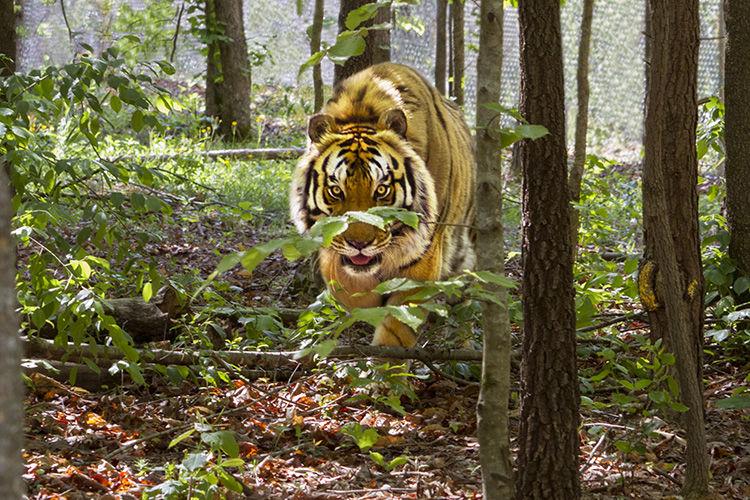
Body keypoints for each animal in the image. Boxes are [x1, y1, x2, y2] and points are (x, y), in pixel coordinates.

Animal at [290, 63, 476, 347]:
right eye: (336, 190)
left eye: (381, 190)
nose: (359, 244)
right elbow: (347, 288)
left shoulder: (424, 254)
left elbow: (397, 325)